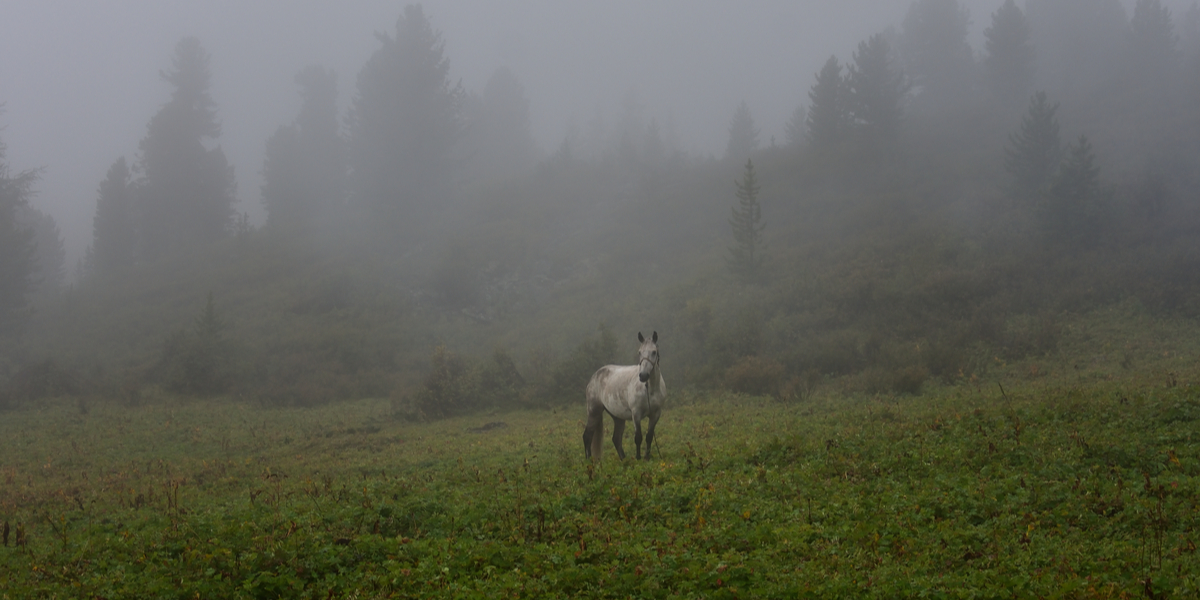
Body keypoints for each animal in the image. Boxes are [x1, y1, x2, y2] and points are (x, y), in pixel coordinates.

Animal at [584, 331, 666, 462]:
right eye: (639, 352)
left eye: (654, 352)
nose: (643, 376)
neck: (650, 389)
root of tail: (594, 377)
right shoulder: (636, 414)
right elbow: (638, 437)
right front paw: (638, 459)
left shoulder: (656, 414)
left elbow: (649, 436)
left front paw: (647, 458)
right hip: (594, 412)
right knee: (587, 436)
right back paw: (589, 462)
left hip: (618, 417)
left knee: (616, 438)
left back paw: (624, 460)